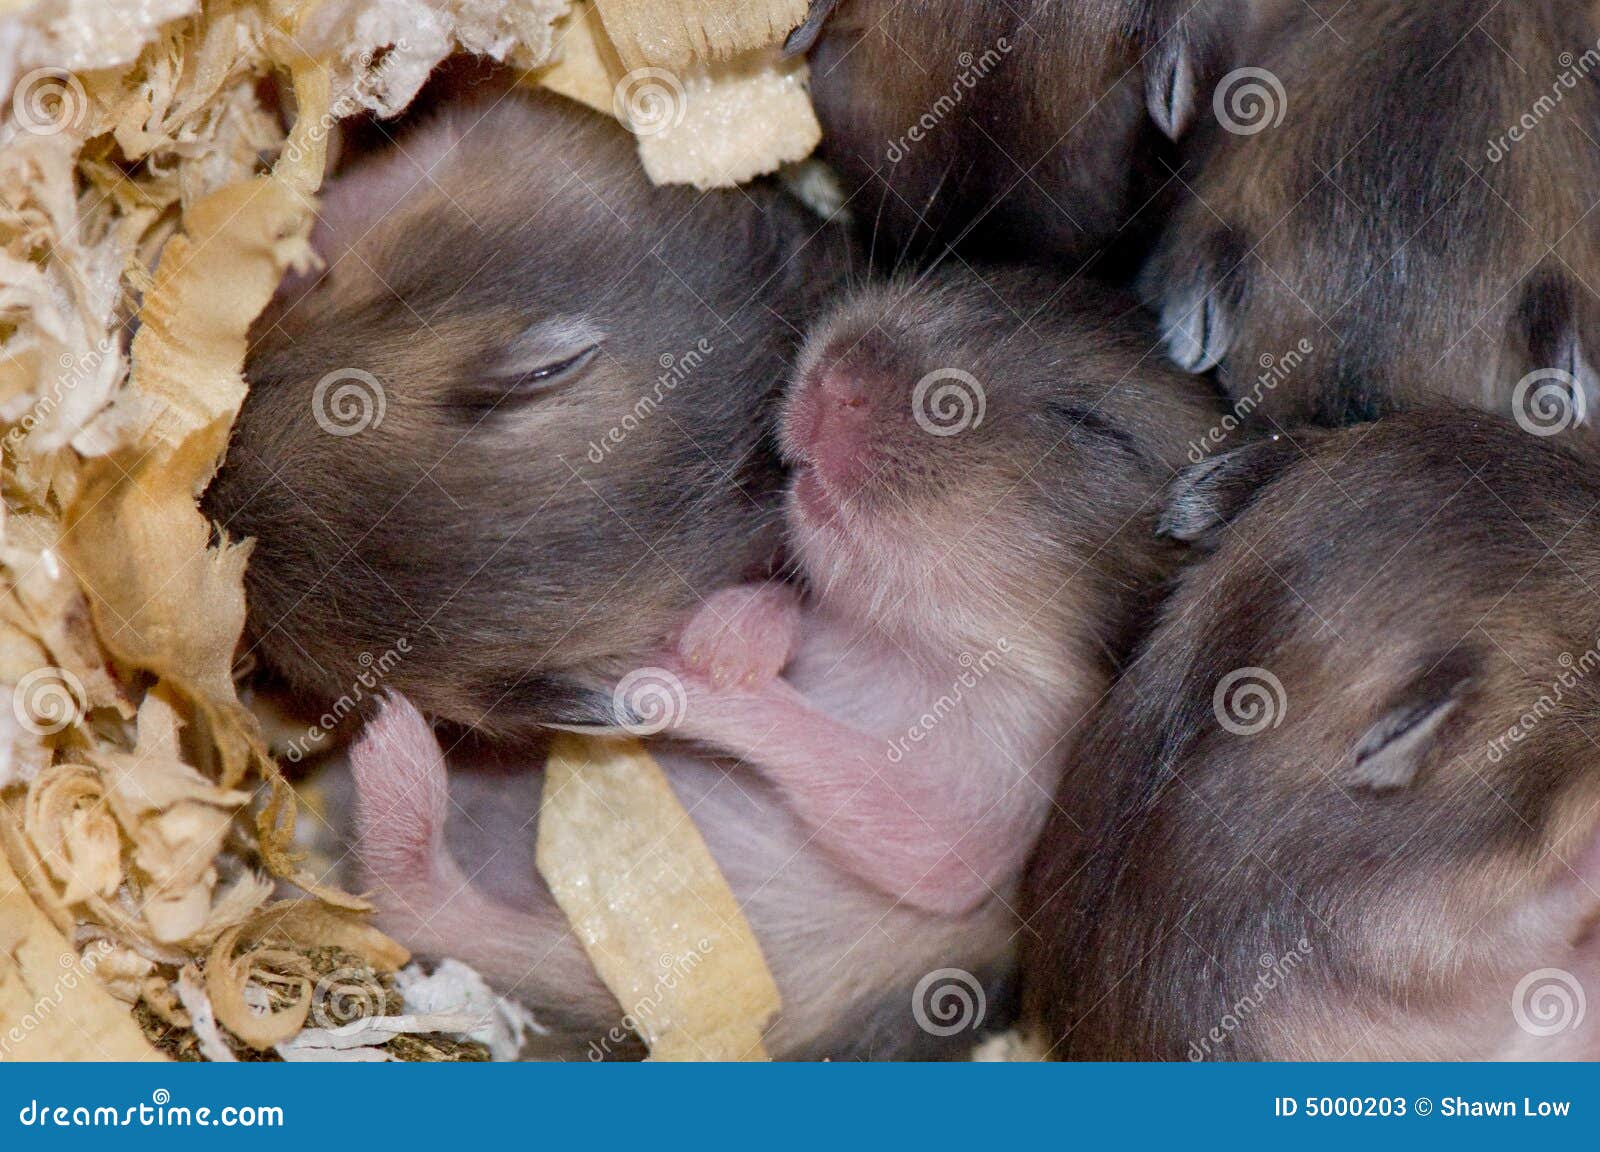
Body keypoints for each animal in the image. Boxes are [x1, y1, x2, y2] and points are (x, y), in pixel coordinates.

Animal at [347, 266, 1227, 1059]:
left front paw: (667, 668)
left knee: (420, 904)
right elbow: (793, 606)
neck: (893, 642)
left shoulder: (991, 797)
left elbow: (883, 798)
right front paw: (739, 628)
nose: (836, 375)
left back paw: (392, 748)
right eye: (974, 278)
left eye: (1093, 425)